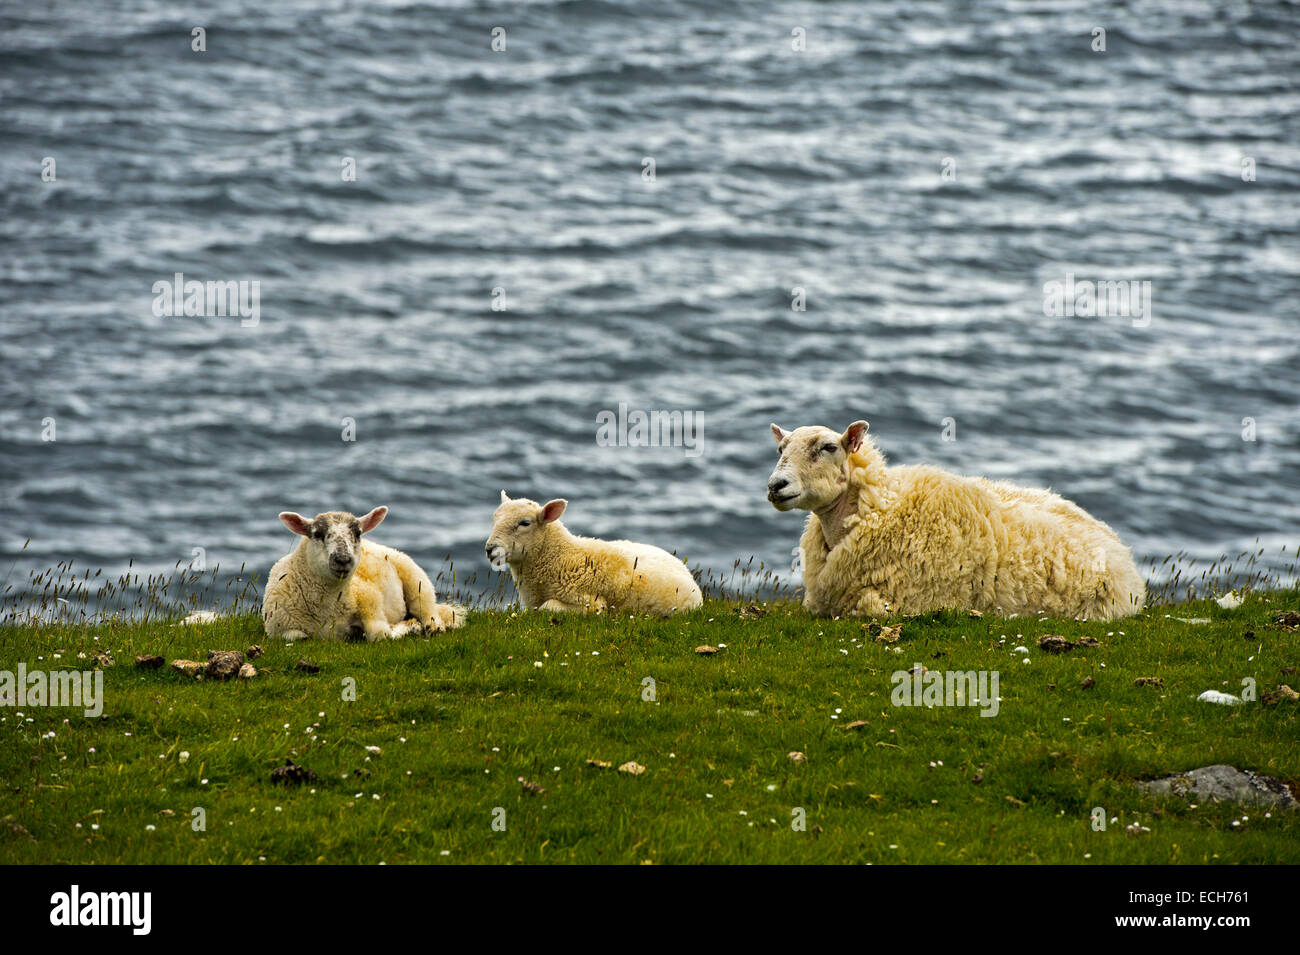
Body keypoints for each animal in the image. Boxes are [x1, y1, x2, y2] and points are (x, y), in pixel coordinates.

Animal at [263, 506, 465, 641]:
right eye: (318, 534)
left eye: (358, 533)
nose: (343, 559)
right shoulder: (279, 630)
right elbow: (297, 637)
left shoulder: (370, 599)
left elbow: (380, 634)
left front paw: (407, 627)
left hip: (417, 580)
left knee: (428, 612)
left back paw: (428, 626)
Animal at [485, 491, 702, 615]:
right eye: (494, 518)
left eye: (525, 523)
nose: (490, 549)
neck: (561, 557)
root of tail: (687, 572)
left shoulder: (592, 604)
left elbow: (548, 606)